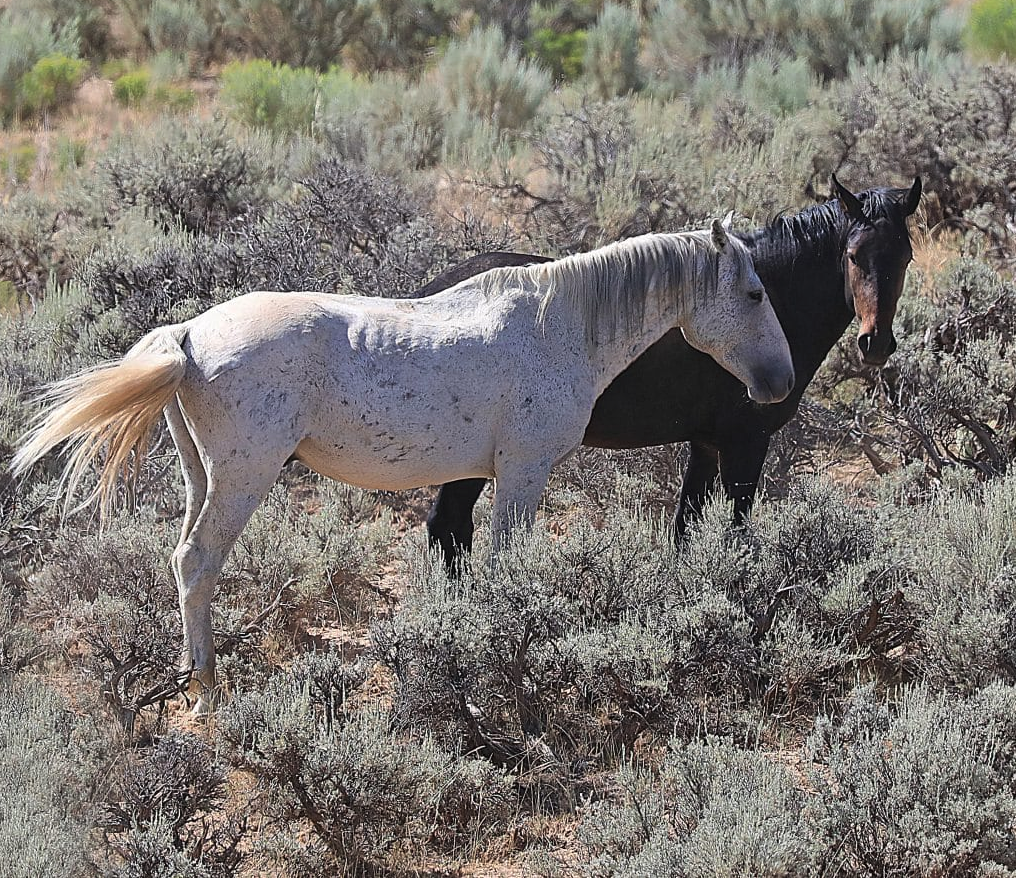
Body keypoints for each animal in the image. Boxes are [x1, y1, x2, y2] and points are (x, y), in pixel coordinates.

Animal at [12, 220, 795, 711]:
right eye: (755, 294)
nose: (779, 383)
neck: (558, 323)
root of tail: (188, 334)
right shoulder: (523, 473)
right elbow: (504, 567)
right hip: (242, 479)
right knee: (198, 563)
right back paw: (207, 695)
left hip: (201, 477)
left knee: (183, 564)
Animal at [425, 176, 922, 568]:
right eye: (854, 255)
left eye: (904, 257)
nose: (876, 343)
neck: (774, 300)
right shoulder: (745, 443)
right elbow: (735, 529)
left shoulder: (705, 445)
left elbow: (685, 530)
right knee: (449, 526)